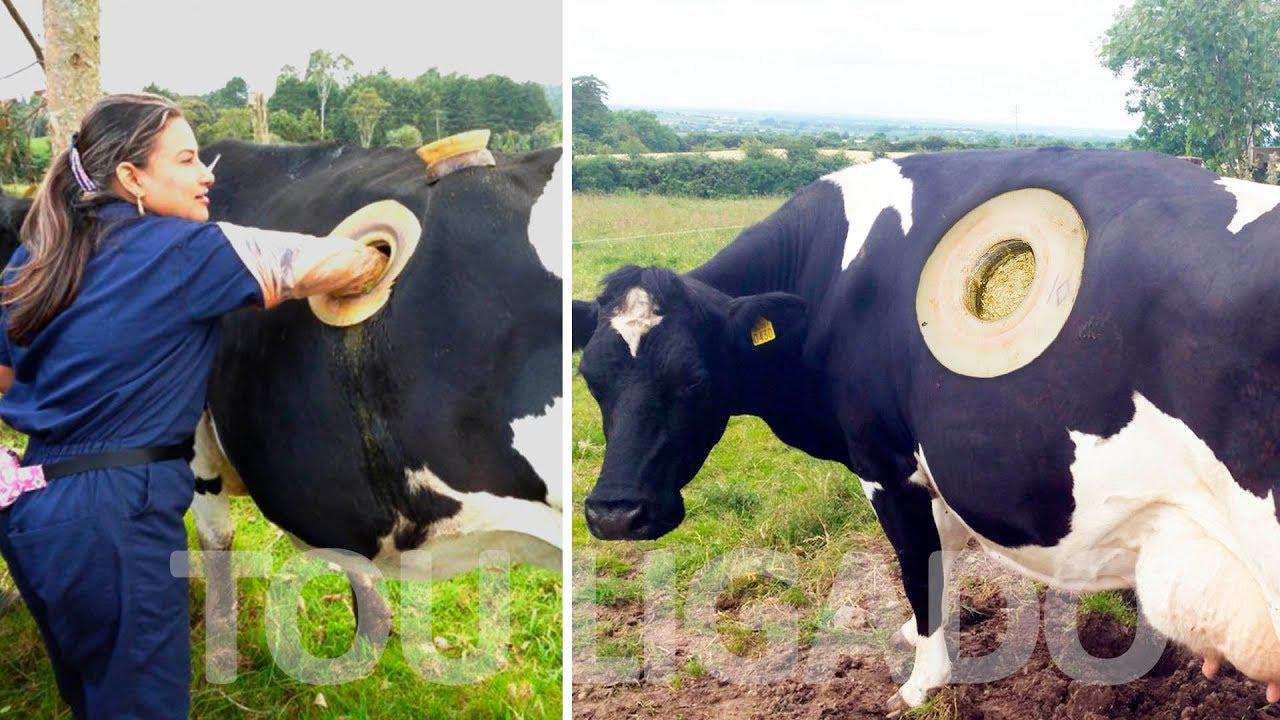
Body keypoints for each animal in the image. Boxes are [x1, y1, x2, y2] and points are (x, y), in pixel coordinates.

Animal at [572, 148, 1280, 712]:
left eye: (694, 381)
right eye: (589, 377)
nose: (614, 514)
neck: (834, 276)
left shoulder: (885, 464)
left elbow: (918, 564)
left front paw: (921, 683)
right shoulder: (928, 463)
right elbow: (948, 552)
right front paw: (918, 639)